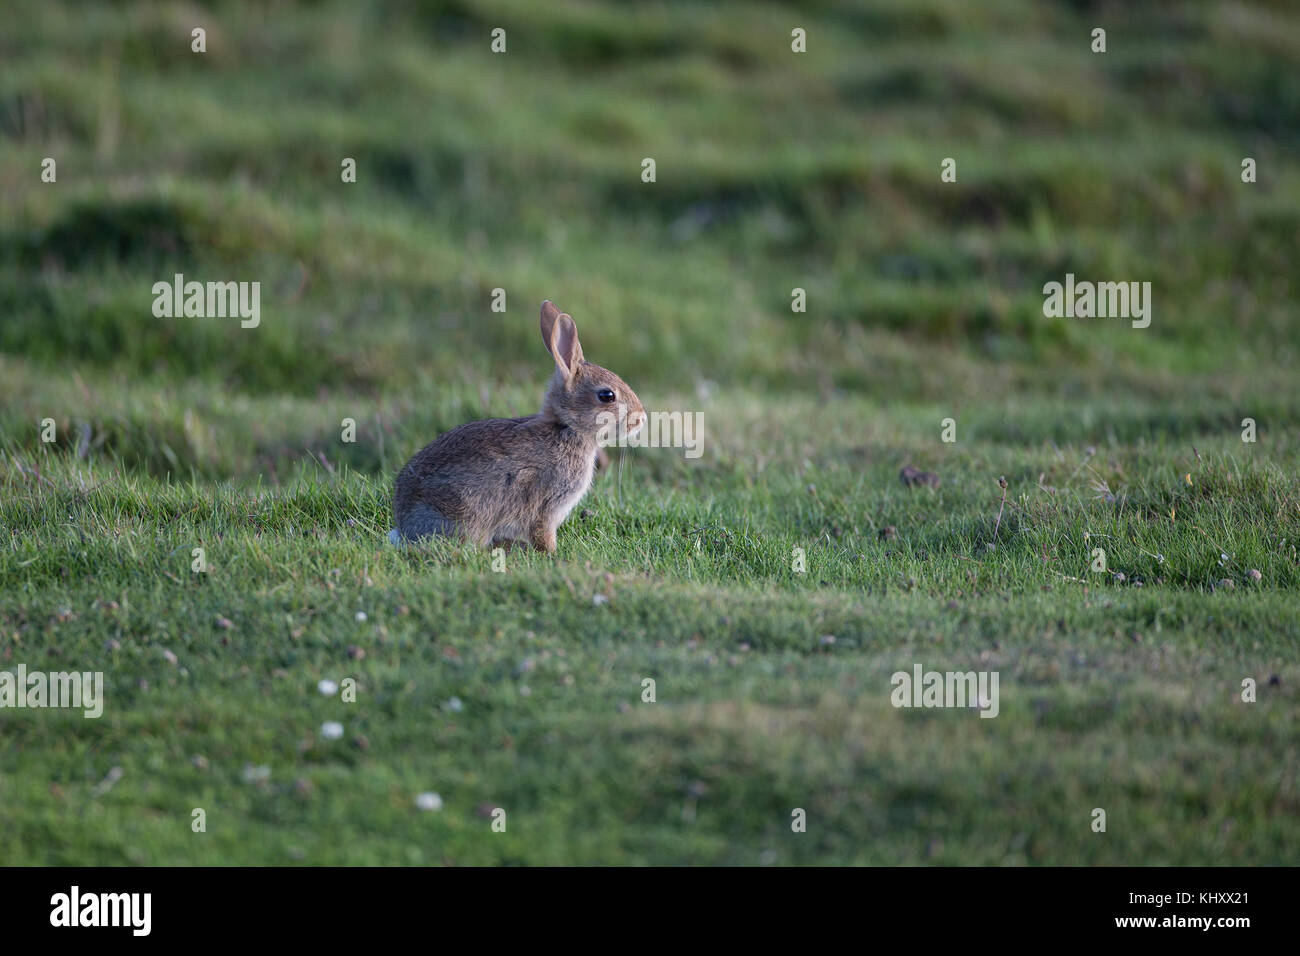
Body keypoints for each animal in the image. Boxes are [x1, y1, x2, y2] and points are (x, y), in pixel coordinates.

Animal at [392, 300, 645, 552]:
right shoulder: (546, 504)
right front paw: (552, 553)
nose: (641, 418)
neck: (566, 427)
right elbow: (542, 531)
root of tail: (404, 525)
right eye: (607, 395)